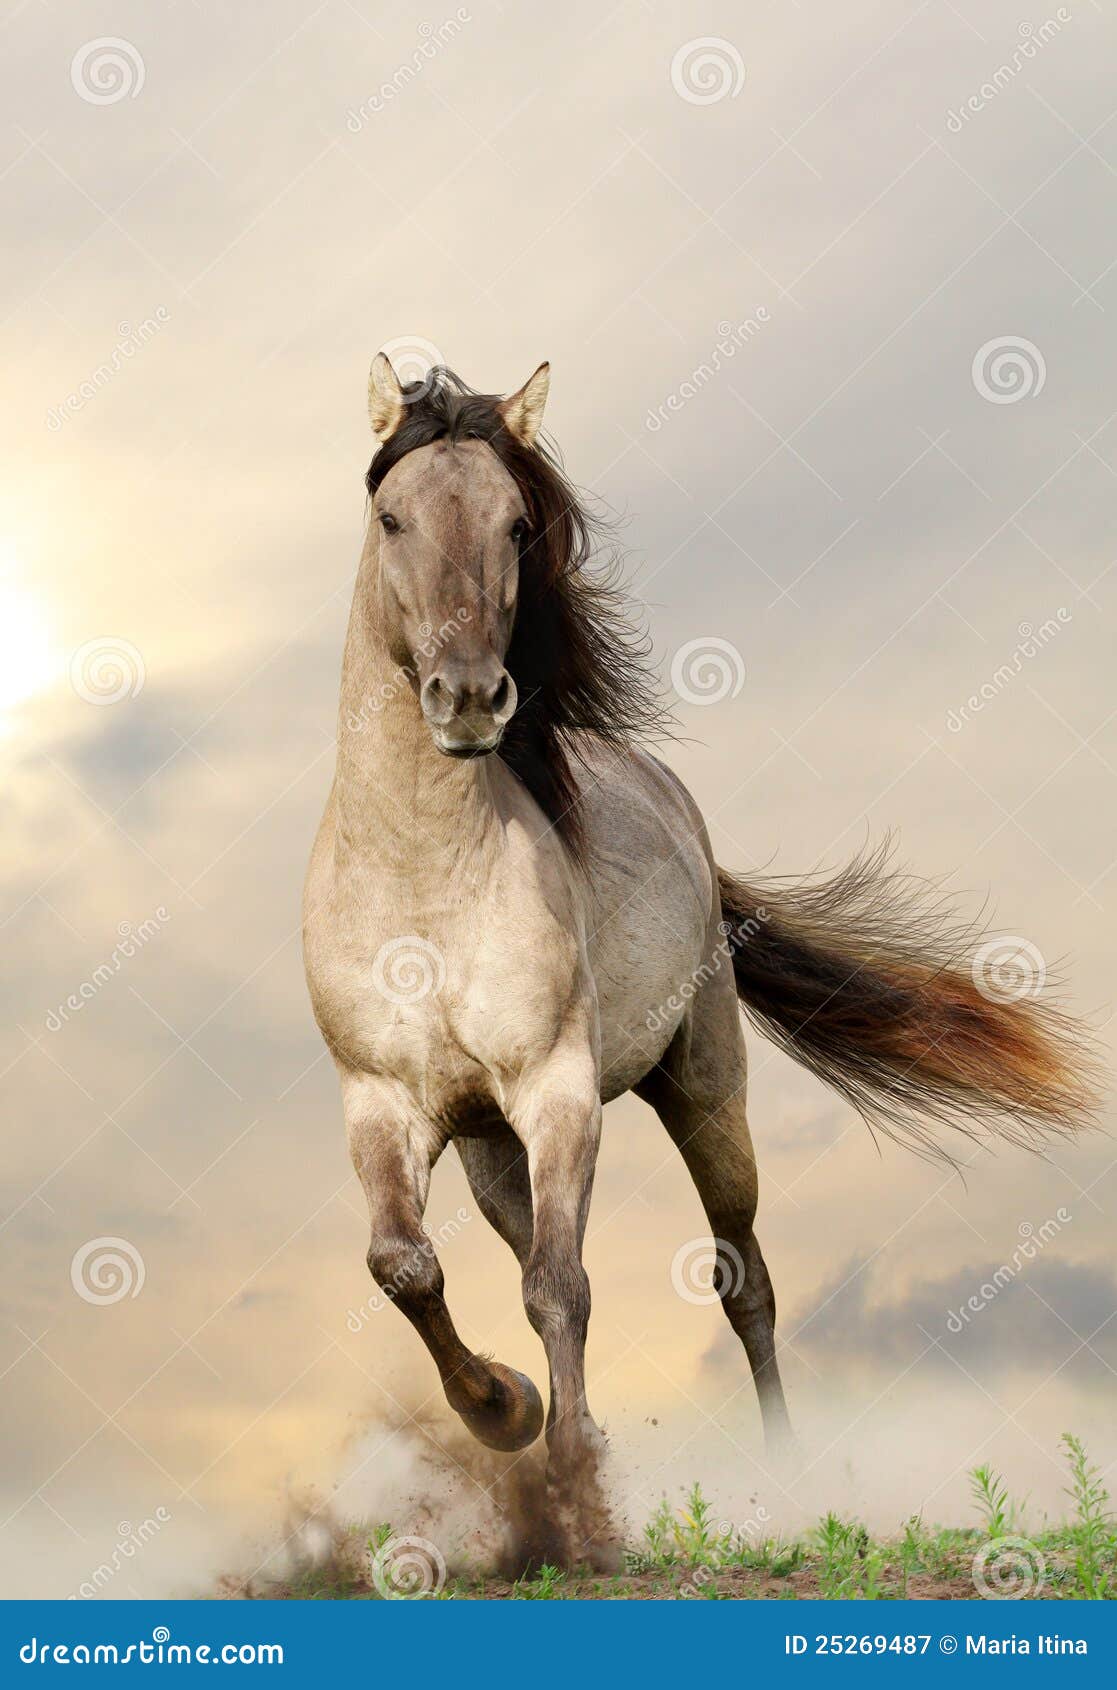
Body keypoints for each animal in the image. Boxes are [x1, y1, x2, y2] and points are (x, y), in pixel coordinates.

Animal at [303, 353, 1097, 1560]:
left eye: (516, 523)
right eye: (390, 517)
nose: (471, 699)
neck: (419, 878)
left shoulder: (558, 1091)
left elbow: (563, 1287)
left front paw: (580, 1499)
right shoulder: (382, 1103)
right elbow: (405, 1265)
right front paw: (505, 1410)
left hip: (704, 1092)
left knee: (742, 1280)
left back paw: (788, 1477)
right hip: (490, 1149)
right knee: (523, 1251)